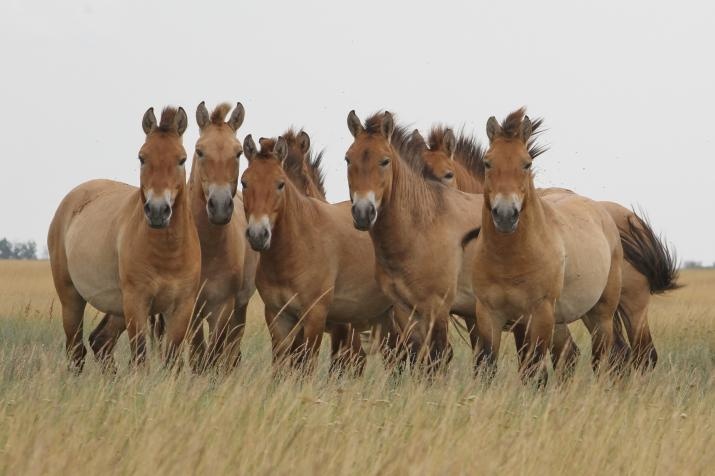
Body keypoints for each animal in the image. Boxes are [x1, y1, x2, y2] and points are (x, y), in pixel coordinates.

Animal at [48, 106, 201, 371]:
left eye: (181, 159)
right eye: (142, 157)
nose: (158, 211)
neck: (168, 253)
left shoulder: (182, 306)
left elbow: (171, 358)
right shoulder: (136, 302)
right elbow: (140, 356)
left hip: (117, 309)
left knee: (100, 341)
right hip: (72, 298)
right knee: (76, 350)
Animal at [240, 134, 396, 373]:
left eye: (280, 184)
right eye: (244, 182)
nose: (258, 235)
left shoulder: (315, 317)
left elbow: (308, 368)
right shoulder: (278, 317)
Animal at [415, 125, 678, 369]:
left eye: (448, 174)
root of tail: (628, 218)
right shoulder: (477, 313)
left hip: (632, 307)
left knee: (643, 355)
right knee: (615, 354)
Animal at [472, 108, 624, 383]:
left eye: (527, 163)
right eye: (488, 163)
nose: (505, 215)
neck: (510, 258)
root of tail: (602, 212)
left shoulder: (540, 314)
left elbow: (533, 368)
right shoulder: (489, 314)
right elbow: (487, 365)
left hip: (601, 315)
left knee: (600, 358)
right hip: (564, 318)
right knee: (570, 355)